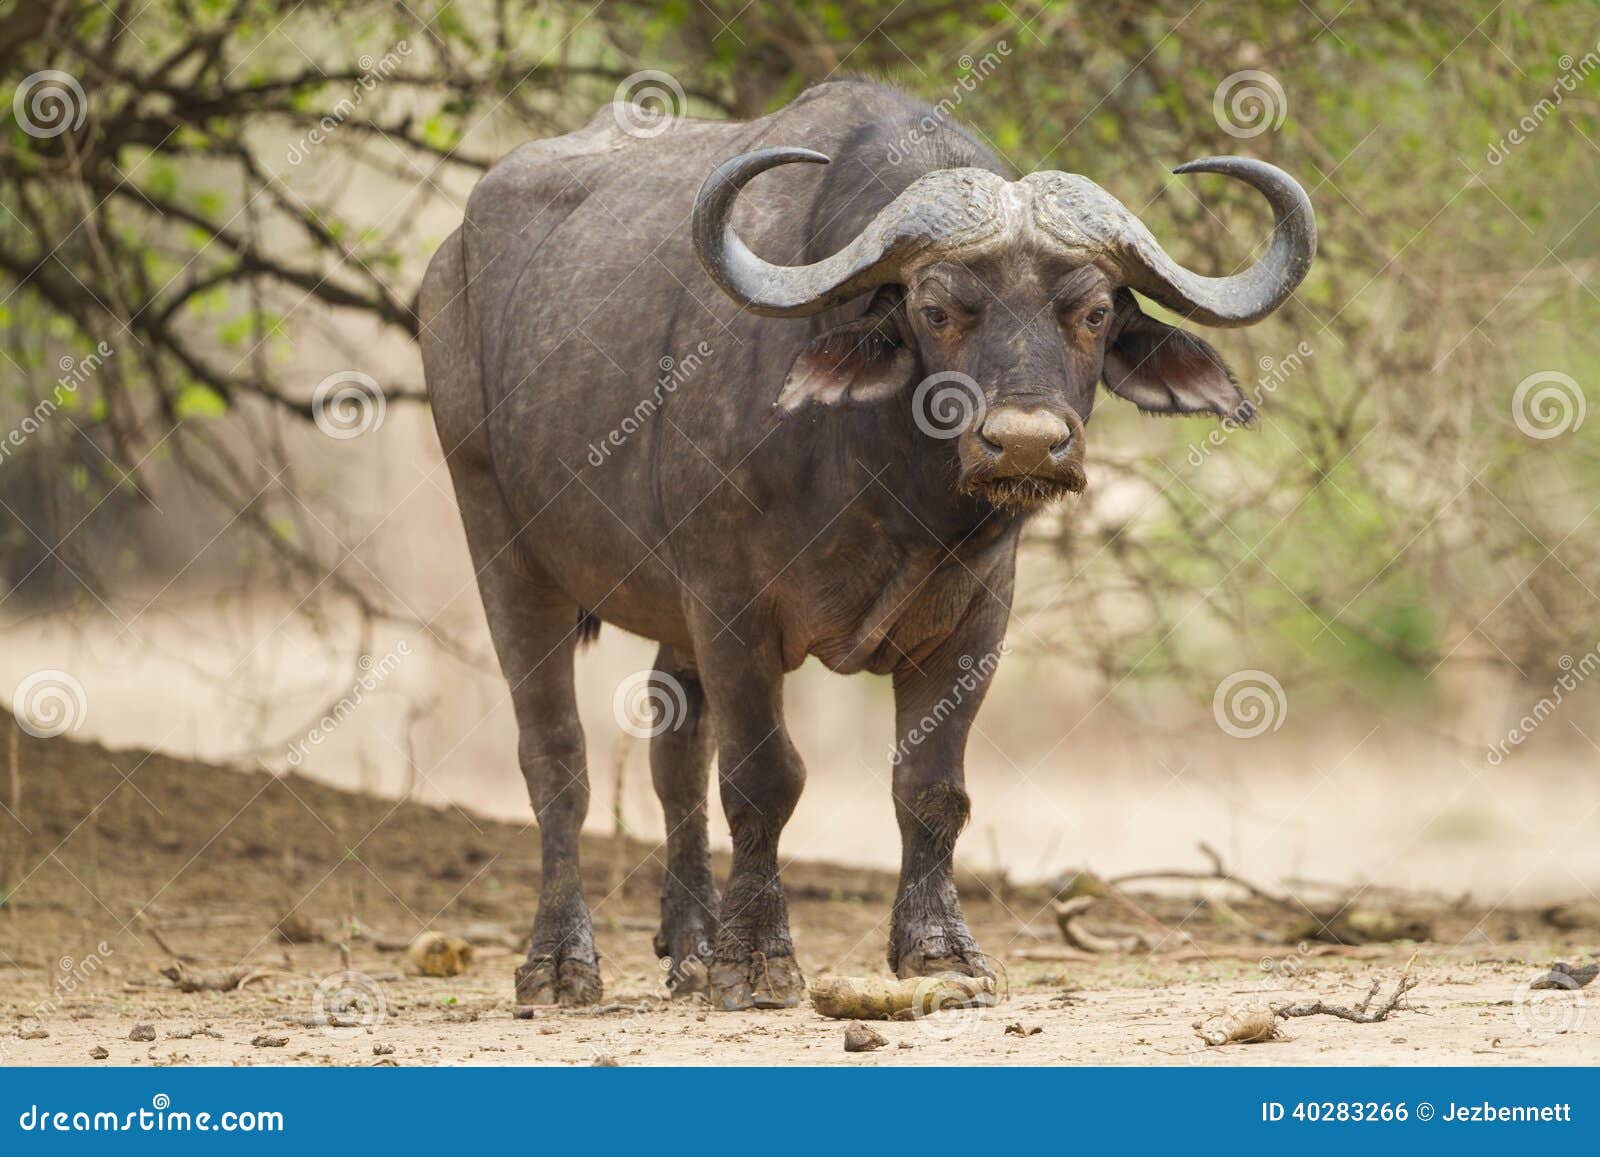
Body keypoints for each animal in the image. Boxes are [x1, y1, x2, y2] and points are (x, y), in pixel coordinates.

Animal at [417, 78, 1315, 1011]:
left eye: (1095, 312)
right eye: (937, 309)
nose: (1027, 444)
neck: (888, 483)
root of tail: (452, 263)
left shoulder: (975, 619)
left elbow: (930, 788)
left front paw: (938, 948)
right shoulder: (731, 605)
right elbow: (763, 777)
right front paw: (757, 960)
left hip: (669, 615)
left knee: (674, 753)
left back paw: (692, 943)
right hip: (503, 544)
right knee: (557, 758)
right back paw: (561, 961)